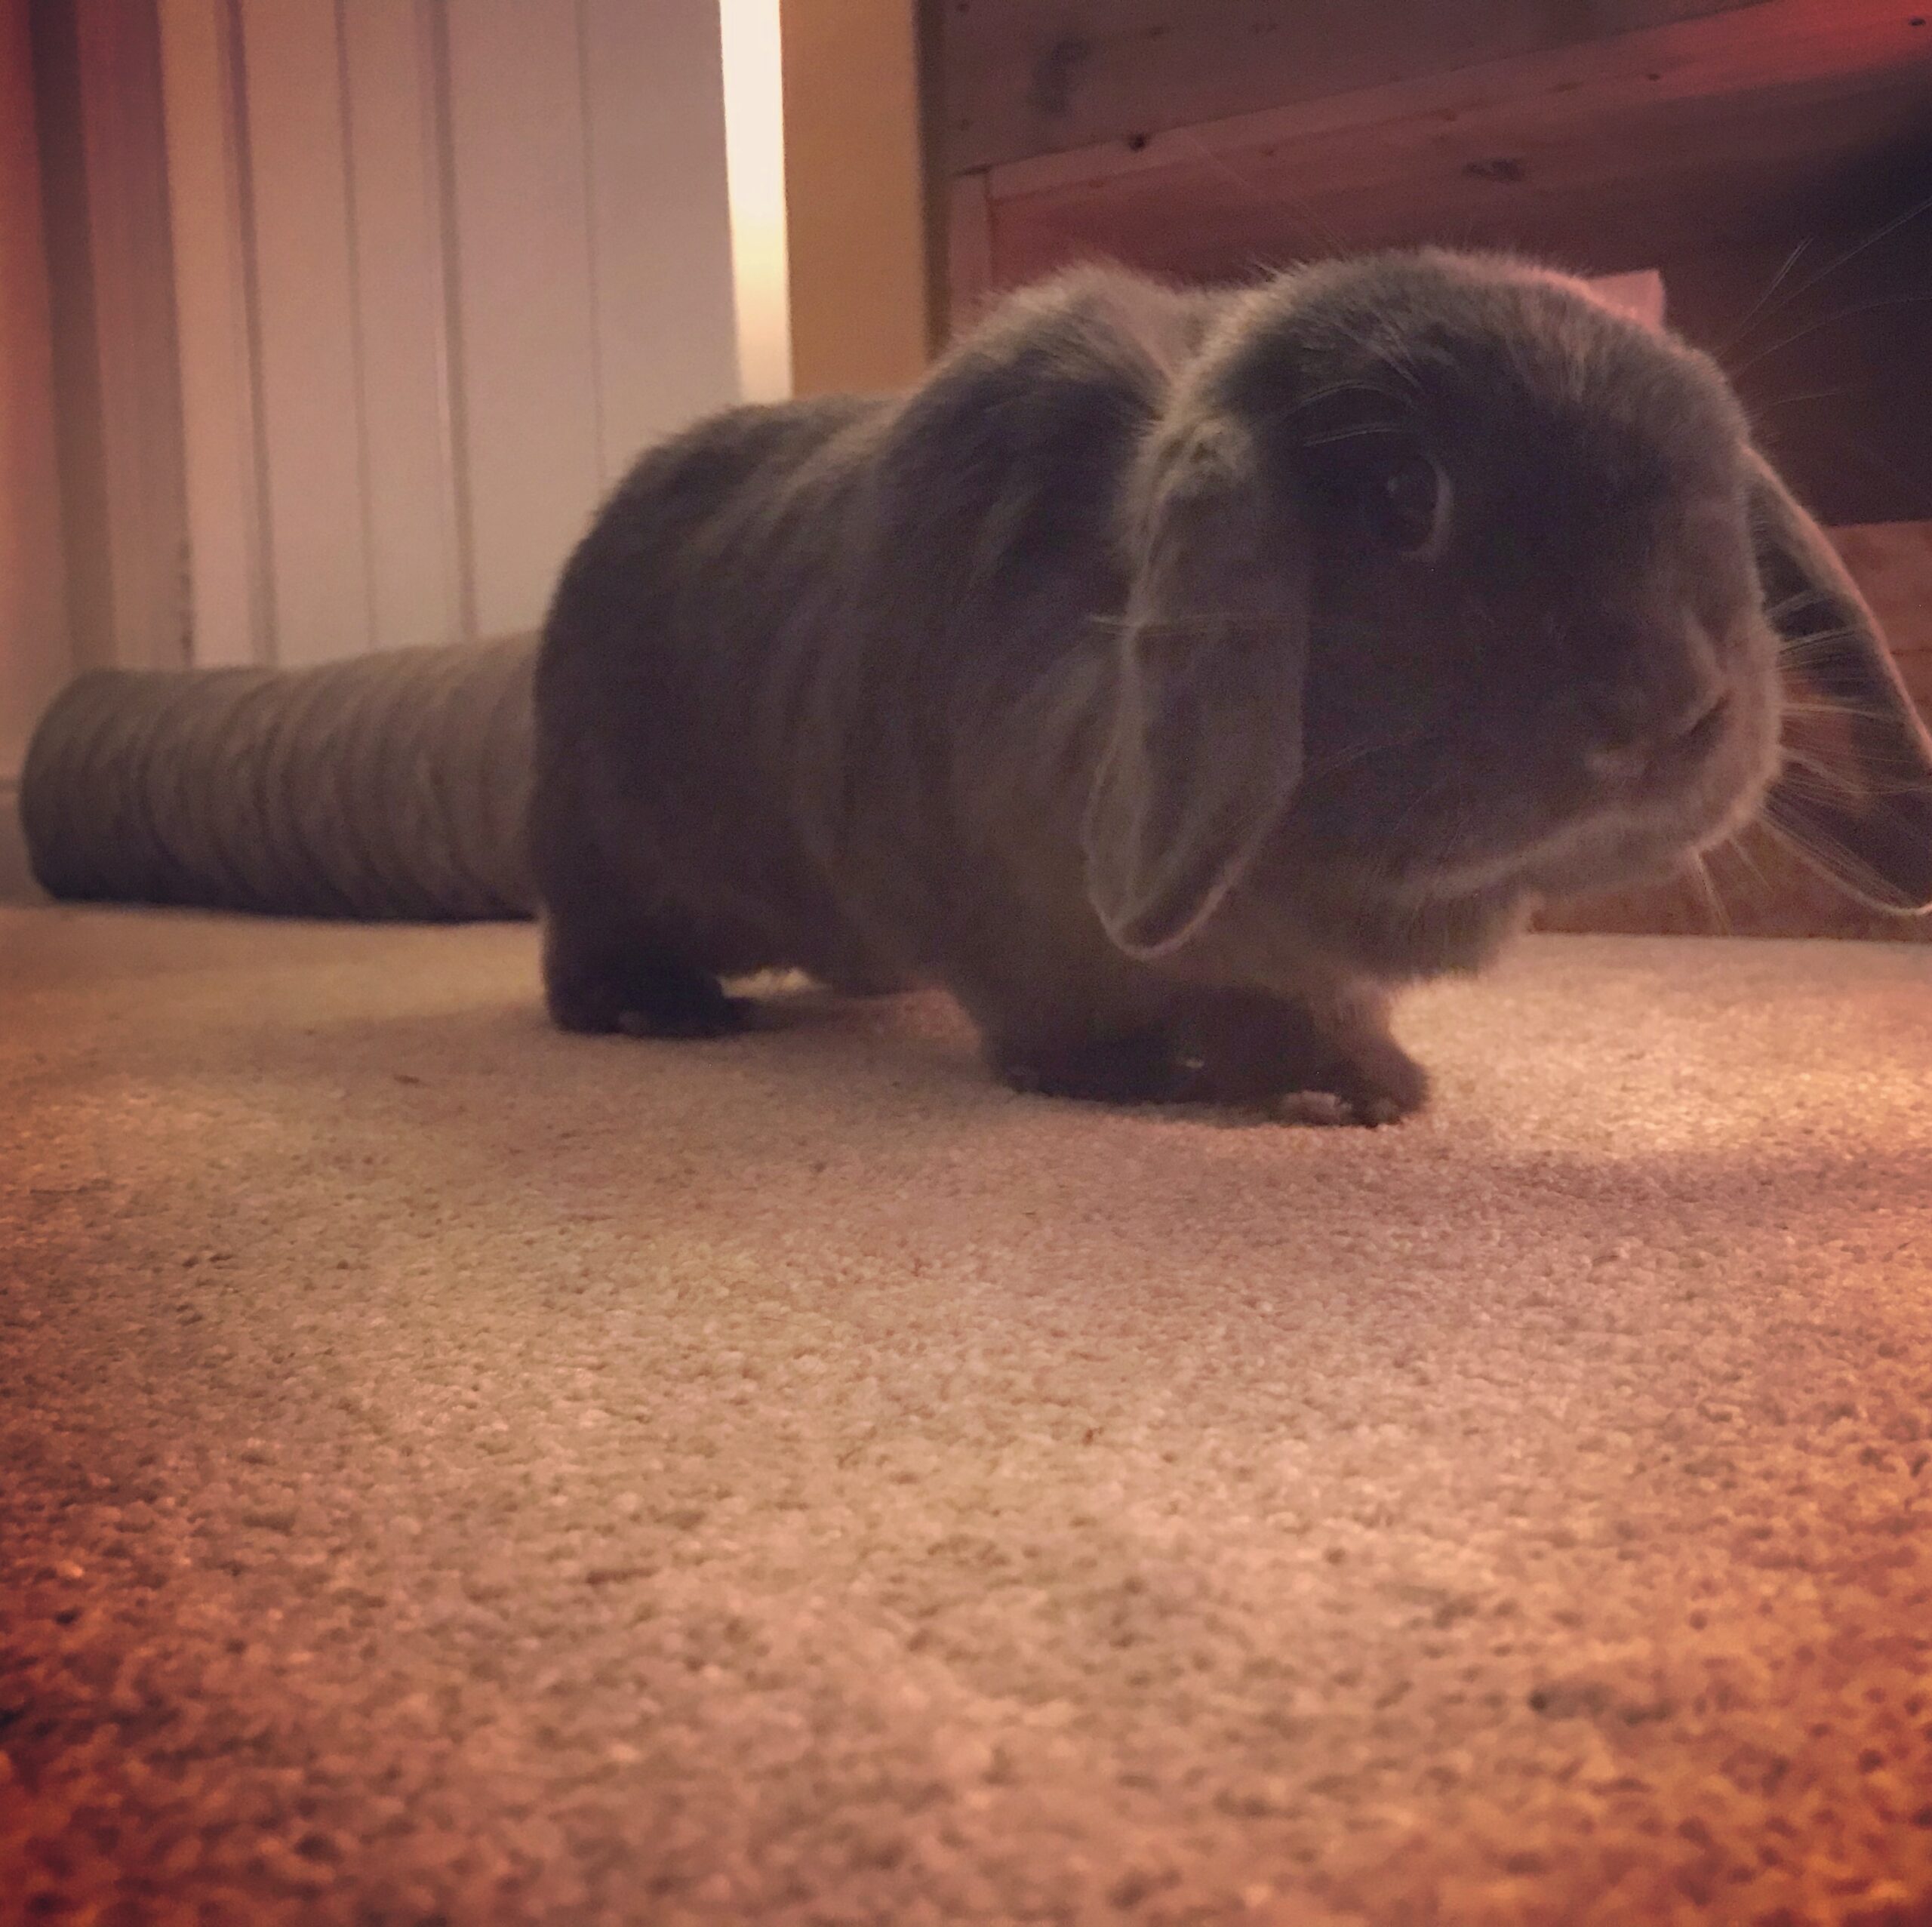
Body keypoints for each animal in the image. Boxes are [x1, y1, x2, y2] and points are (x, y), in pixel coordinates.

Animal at [528, 248, 1932, 1124]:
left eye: (1725, 500)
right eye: (1403, 496)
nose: (1676, 700)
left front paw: (1369, 1084)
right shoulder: (1013, 929)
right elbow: (1071, 1017)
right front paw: (1147, 1076)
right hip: (610, 861)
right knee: (581, 955)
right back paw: (664, 1011)